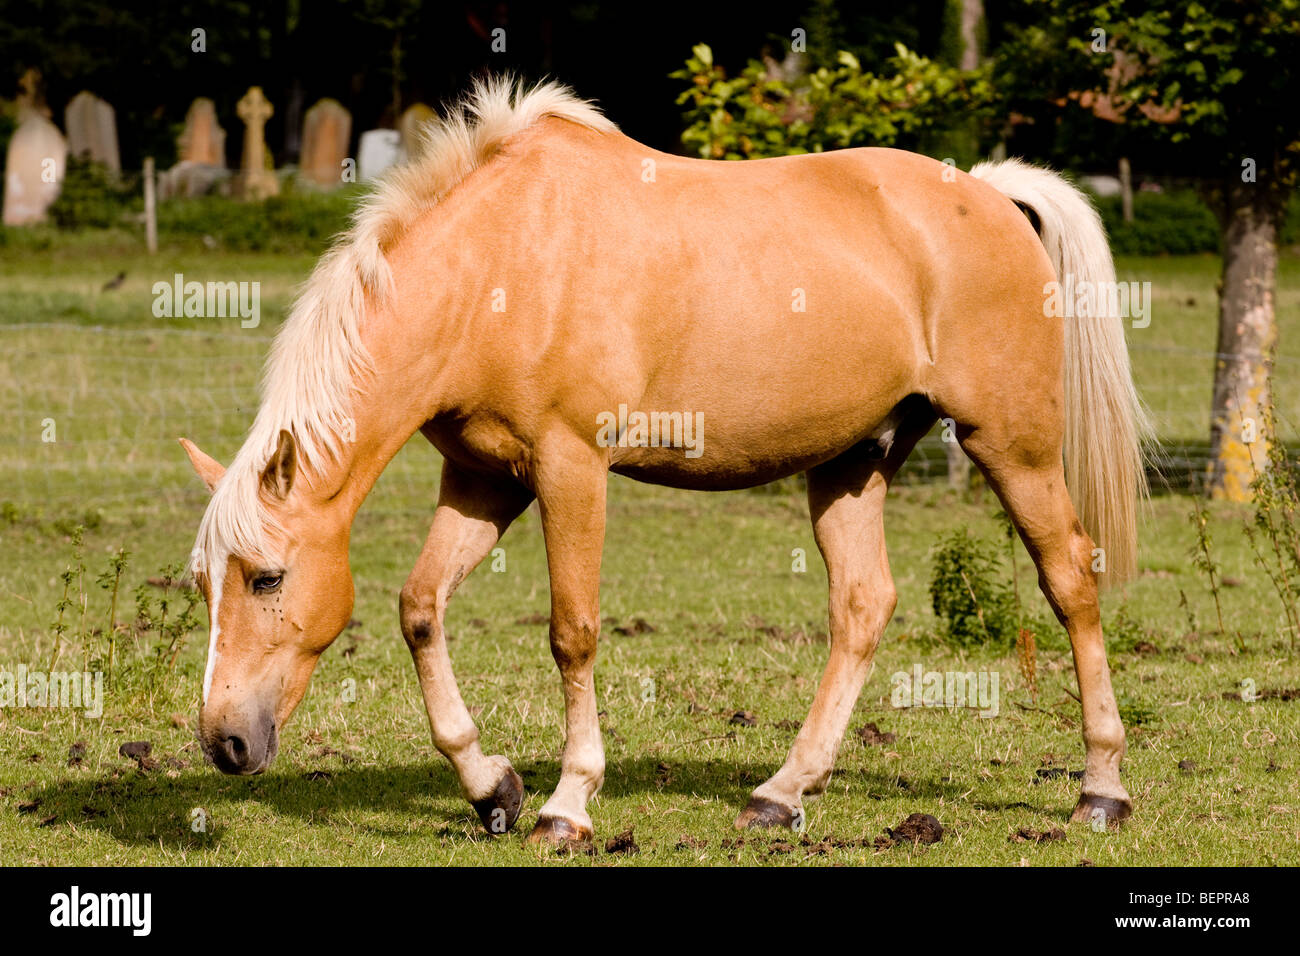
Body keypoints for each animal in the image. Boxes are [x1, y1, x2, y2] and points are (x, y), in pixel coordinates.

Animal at [181, 77, 1147, 846]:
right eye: (204, 584)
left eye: (266, 578)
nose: (224, 742)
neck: (500, 264)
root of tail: (990, 193)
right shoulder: (485, 479)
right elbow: (420, 608)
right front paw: (491, 787)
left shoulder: (570, 470)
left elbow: (572, 633)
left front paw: (567, 804)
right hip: (853, 459)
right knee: (863, 608)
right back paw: (780, 794)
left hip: (1011, 446)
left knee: (1070, 579)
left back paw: (1101, 789)